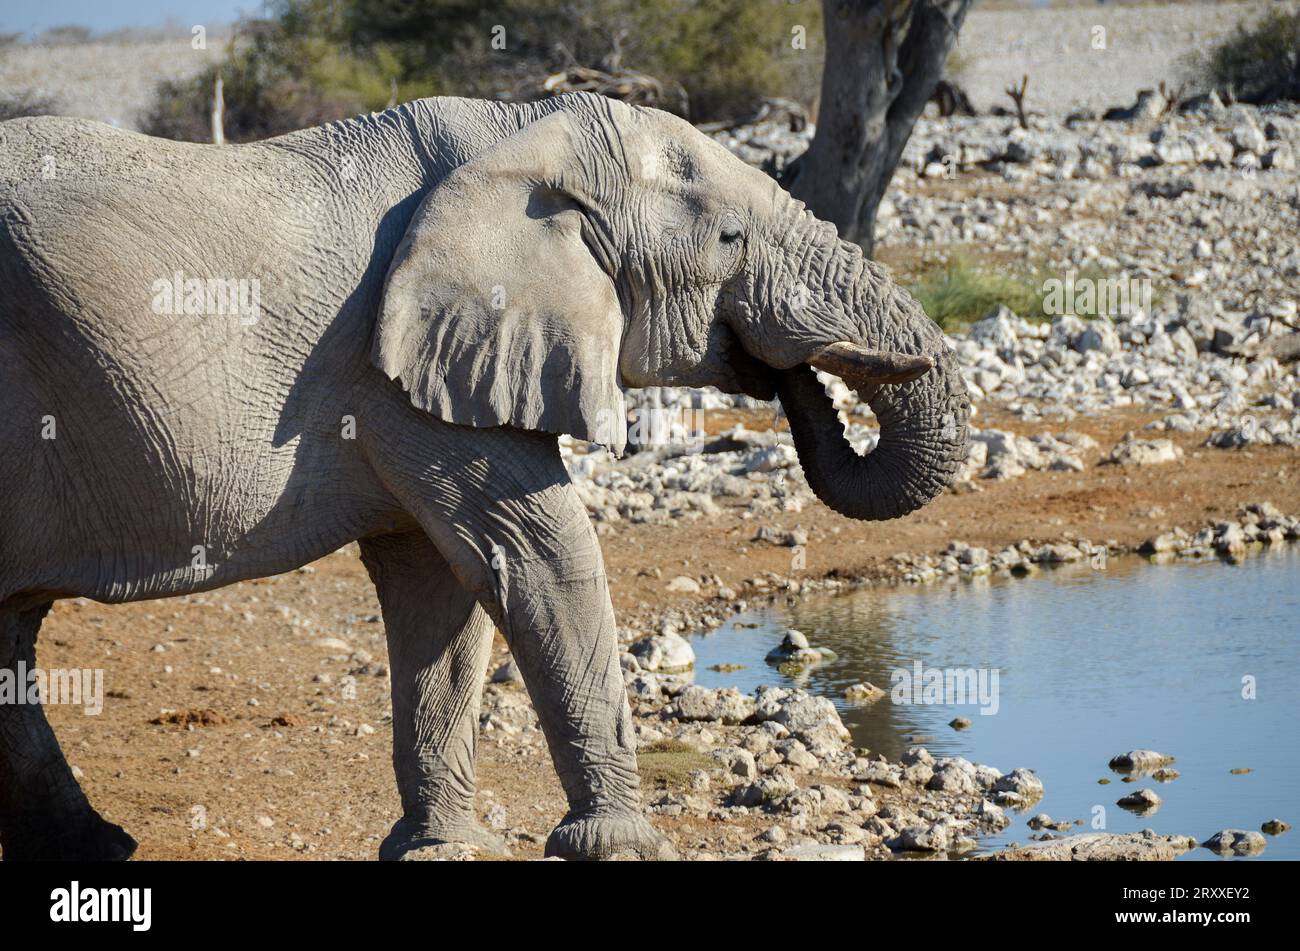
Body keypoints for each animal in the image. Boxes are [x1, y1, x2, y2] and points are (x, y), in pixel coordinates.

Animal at [0, 92, 968, 861]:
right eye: (730, 238)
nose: (786, 371)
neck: (520, 136)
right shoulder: (400, 364)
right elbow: (537, 551)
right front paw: (619, 849)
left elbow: (440, 583)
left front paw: (442, 850)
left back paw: (98, 846)